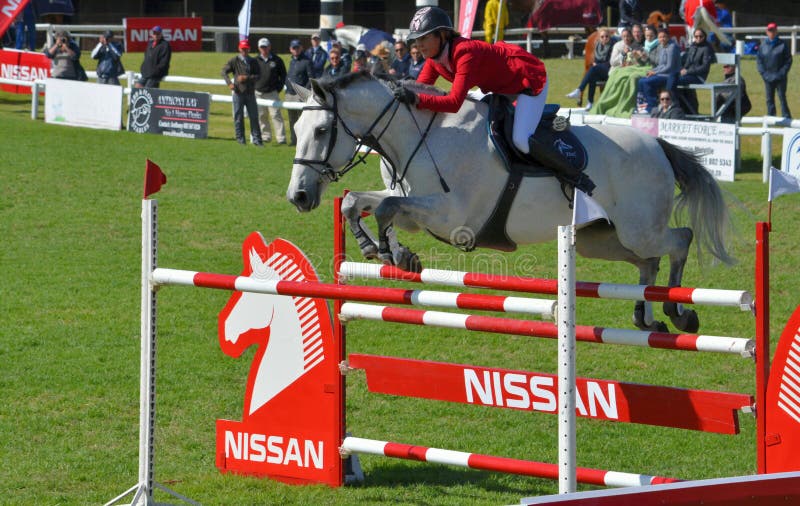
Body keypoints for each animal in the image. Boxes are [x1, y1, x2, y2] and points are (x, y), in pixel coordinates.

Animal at [285, 72, 734, 333]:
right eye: (297, 126)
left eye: (322, 130)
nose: (299, 196)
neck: (417, 135)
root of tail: (658, 146)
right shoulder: (414, 203)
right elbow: (360, 203)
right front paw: (386, 251)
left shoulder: (452, 217)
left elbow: (383, 208)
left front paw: (392, 253)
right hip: (602, 238)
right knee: (649, 261)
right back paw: (647, 317)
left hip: (638, 229)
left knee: (679, 240)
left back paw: (679, 313)